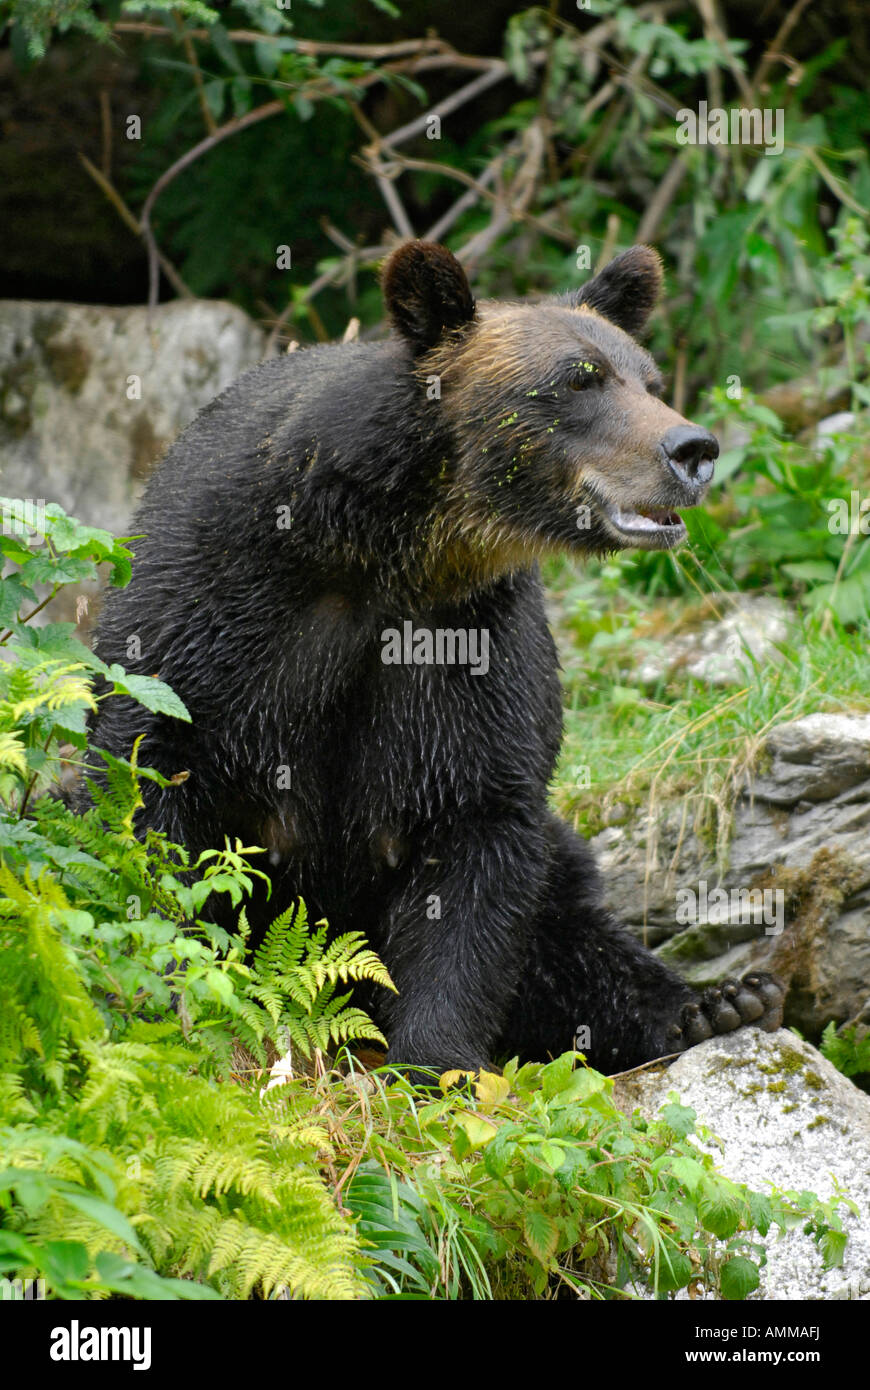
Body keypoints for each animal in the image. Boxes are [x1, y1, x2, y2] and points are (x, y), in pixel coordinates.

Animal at [84, 240, 784, 1076]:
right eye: (579, 378)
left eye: (649, 380)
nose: (693, 450)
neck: (395, 545)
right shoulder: (215, 600)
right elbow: (151, 776)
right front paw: (177, 991)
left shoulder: (470, 643)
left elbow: (478, 833)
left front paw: (437, 1057)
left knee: (571, 921)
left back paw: (716, 1002)